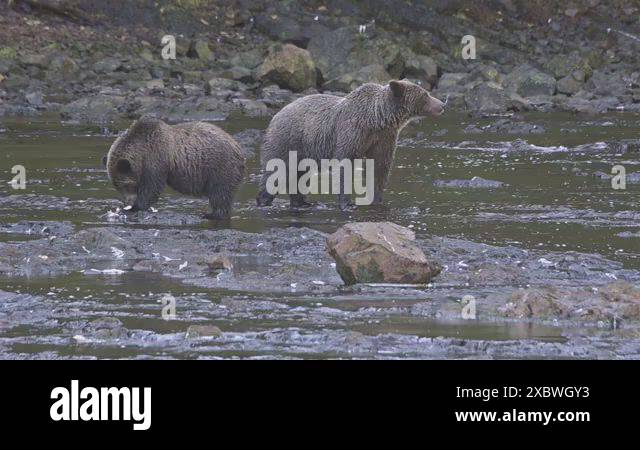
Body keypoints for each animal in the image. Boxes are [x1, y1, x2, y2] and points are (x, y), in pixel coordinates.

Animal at [105, 117, 245, 220]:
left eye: (125, 185)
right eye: (117, 186)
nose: (127, 203)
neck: (141, 153)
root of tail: (238, 148)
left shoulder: (156, 159)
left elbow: (152, 188)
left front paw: (135, 207)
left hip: (220, 167)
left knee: (220, 193)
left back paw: (211, 214)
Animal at [256, 79, 444, 209]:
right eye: (425, 95)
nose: (442, 104)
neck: (377, 119)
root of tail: (276, 114)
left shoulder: (383, 138)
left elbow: (380, 167)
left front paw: (377, 200)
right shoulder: (352, 132)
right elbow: (345, 164)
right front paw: (347, 203)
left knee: (300, 174)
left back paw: (302, 202)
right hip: (288, 140)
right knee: (276, 171)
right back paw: (264, 200)